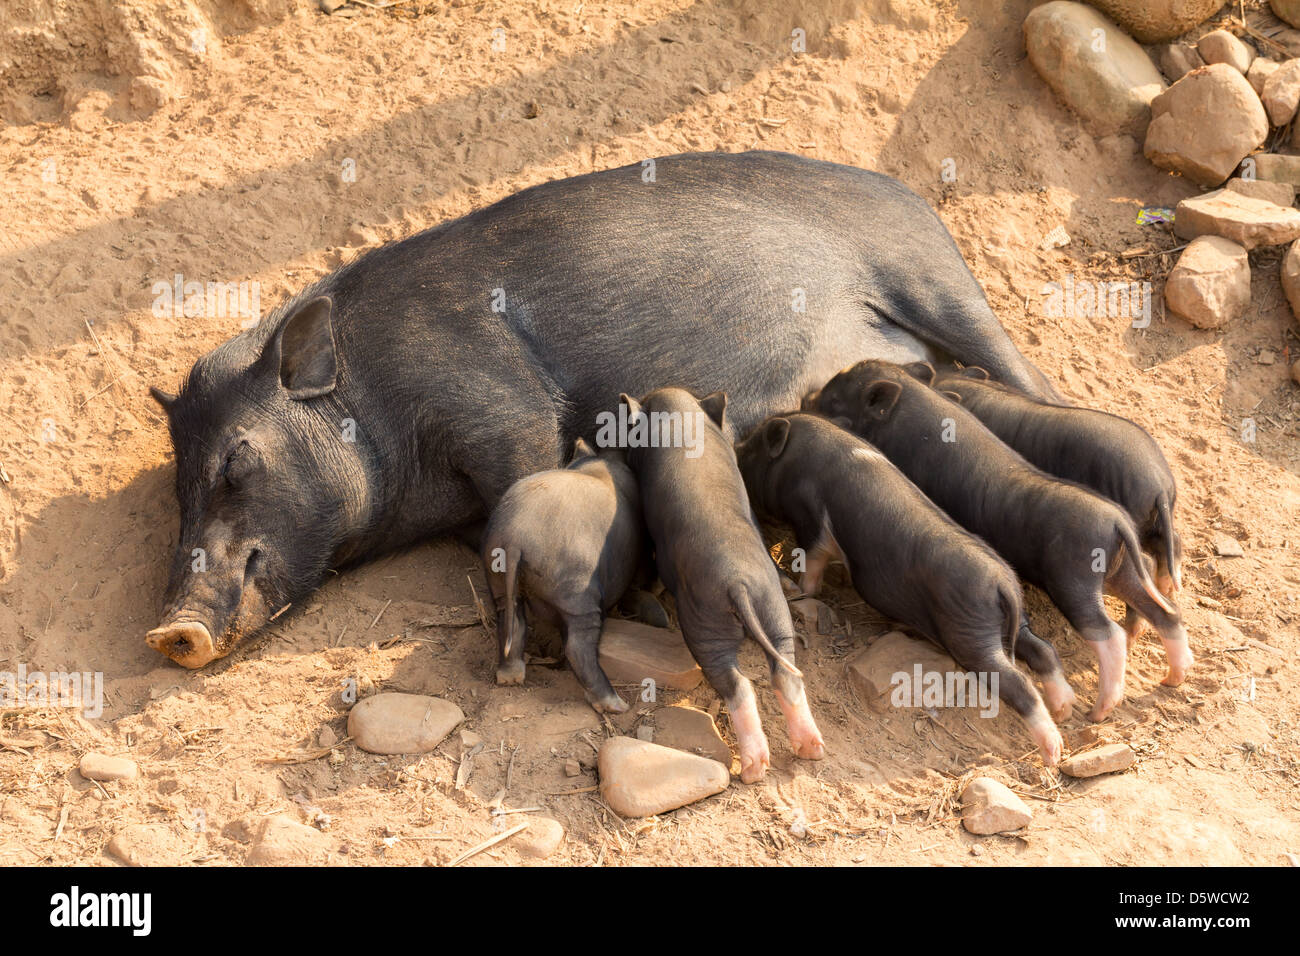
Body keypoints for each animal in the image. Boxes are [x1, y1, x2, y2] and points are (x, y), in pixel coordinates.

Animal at [147, 150, 1058, 668]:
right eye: (178, 492)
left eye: (236, 461)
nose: (171, 633)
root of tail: (909, 194)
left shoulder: (498, 404)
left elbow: (524, 481)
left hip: (936, 276)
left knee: (1026, 375)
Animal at [481, 438, 643, 714]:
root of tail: (515, 538)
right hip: (577, 589)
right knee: (577, 646)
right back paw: (617, 705)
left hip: (497, 572)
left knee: (512, 621)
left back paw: (509, 678)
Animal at [619, 387, 824, 782]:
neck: (682, 418)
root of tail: (738, 582)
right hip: (774, 610)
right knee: (786, 673)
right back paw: (811, 749)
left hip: (704, 625)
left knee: (738, 683)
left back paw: (754, 770)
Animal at [736, 413, 1072, 763]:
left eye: (753, 449)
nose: (735, 448)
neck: (799, 462)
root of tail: (1002, 583)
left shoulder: (811, 520)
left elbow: (812, 560)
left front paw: (803, 589)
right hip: (1008, 625)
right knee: (1043, 648)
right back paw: (1066, 709)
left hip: (971, 634)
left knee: (1019, 683)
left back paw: (1053, 753)